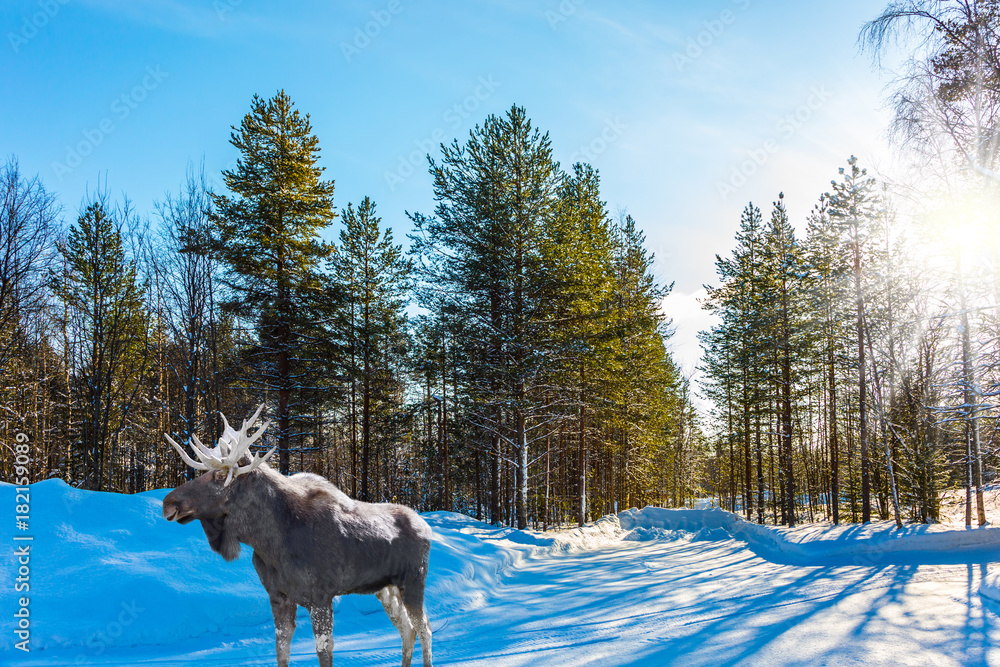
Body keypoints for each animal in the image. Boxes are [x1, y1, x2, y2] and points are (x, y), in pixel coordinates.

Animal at [161, 405, 433, 667]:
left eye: (219, 476)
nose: (168, 503)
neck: (269, 543)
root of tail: (426, 528)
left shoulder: (321, 597)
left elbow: (324, 653)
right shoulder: (278, 596)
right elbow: (281, 651)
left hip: (413, 581)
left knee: (424, 630)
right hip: (386, 589)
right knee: (407, 630)